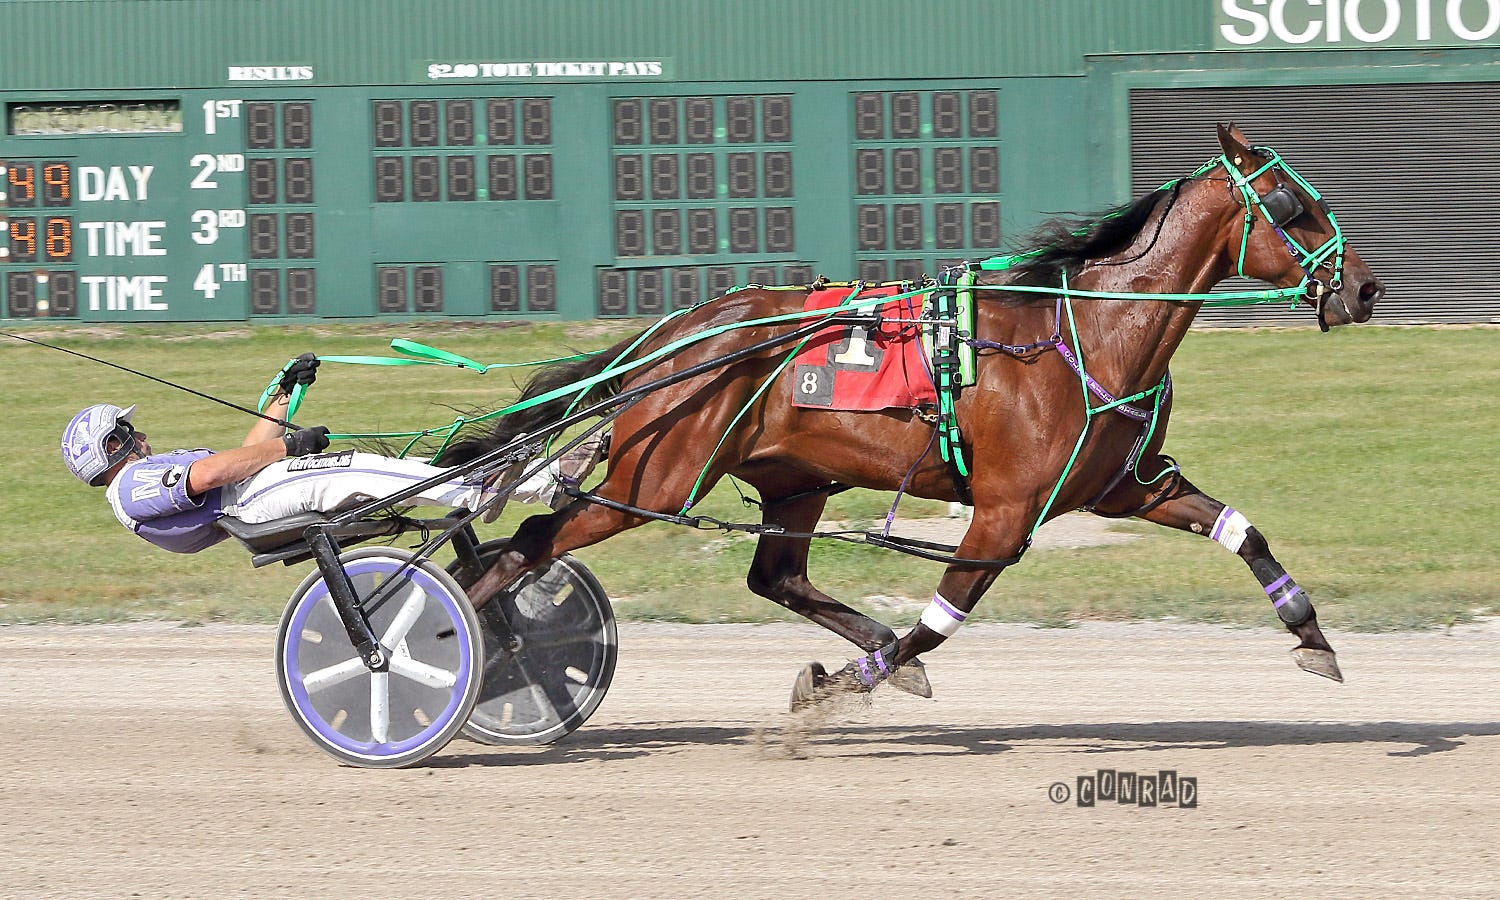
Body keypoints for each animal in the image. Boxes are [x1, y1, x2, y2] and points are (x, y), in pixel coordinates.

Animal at [439, 124, 1383, 705]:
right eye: (1293, 205)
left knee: (774, 577)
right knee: (527, 546)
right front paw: (840, 687)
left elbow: (1244, 532)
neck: (1085, 336)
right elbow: (941, 620)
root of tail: (675, 333)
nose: (1367, 288)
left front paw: (1312, 636)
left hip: (792, 479)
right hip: (656, 480)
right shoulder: (1004, 514)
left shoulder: (1130, 486)